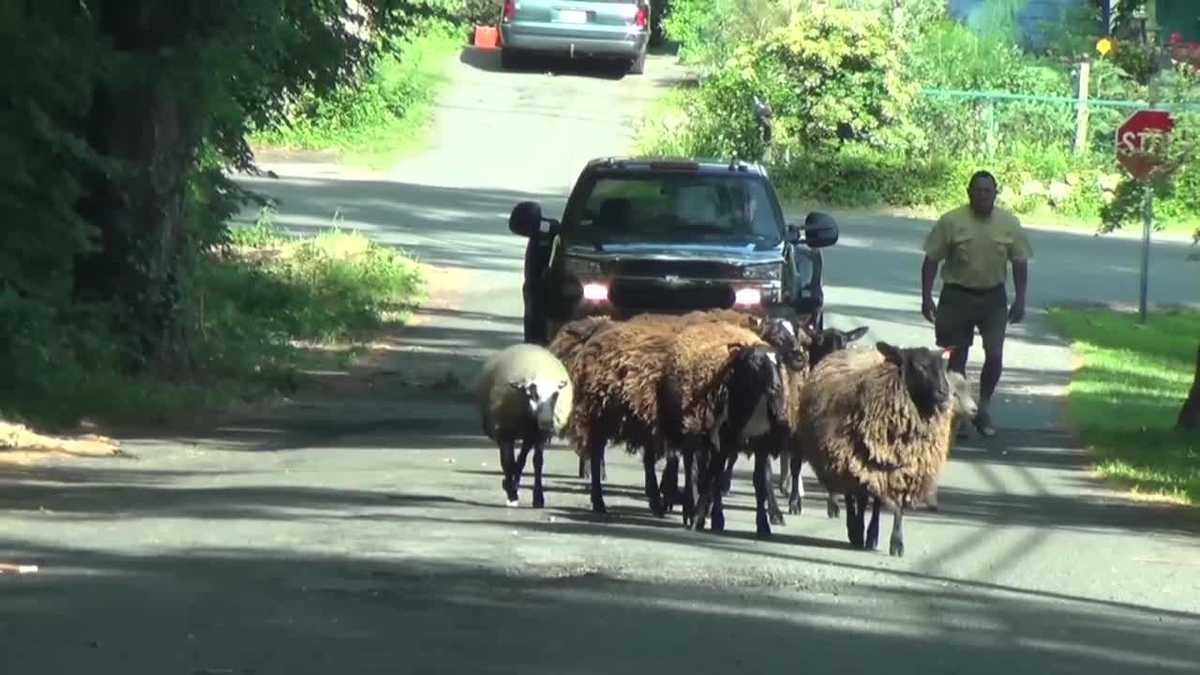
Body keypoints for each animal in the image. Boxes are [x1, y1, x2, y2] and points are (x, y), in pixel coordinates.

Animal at [476, 343, 573, 508]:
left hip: (529, 435)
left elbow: (537, 462)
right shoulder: (505, 432)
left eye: (555, 394)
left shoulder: (539, 435)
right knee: (510, 461)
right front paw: (511, 493)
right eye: (532, 394)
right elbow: (507, 462)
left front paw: (538, 497)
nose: (547, 423)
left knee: (522, 458)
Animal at [793, 341, 955, 556]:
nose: (944, 394)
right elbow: (861, 500)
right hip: (845, 457)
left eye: (944, 368)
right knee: (851, 495)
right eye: (920, 366)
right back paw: (853, 528)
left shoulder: (899, 469)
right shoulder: (860, 461)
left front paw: (891, 541)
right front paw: (859, 531)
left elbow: (893, 506)